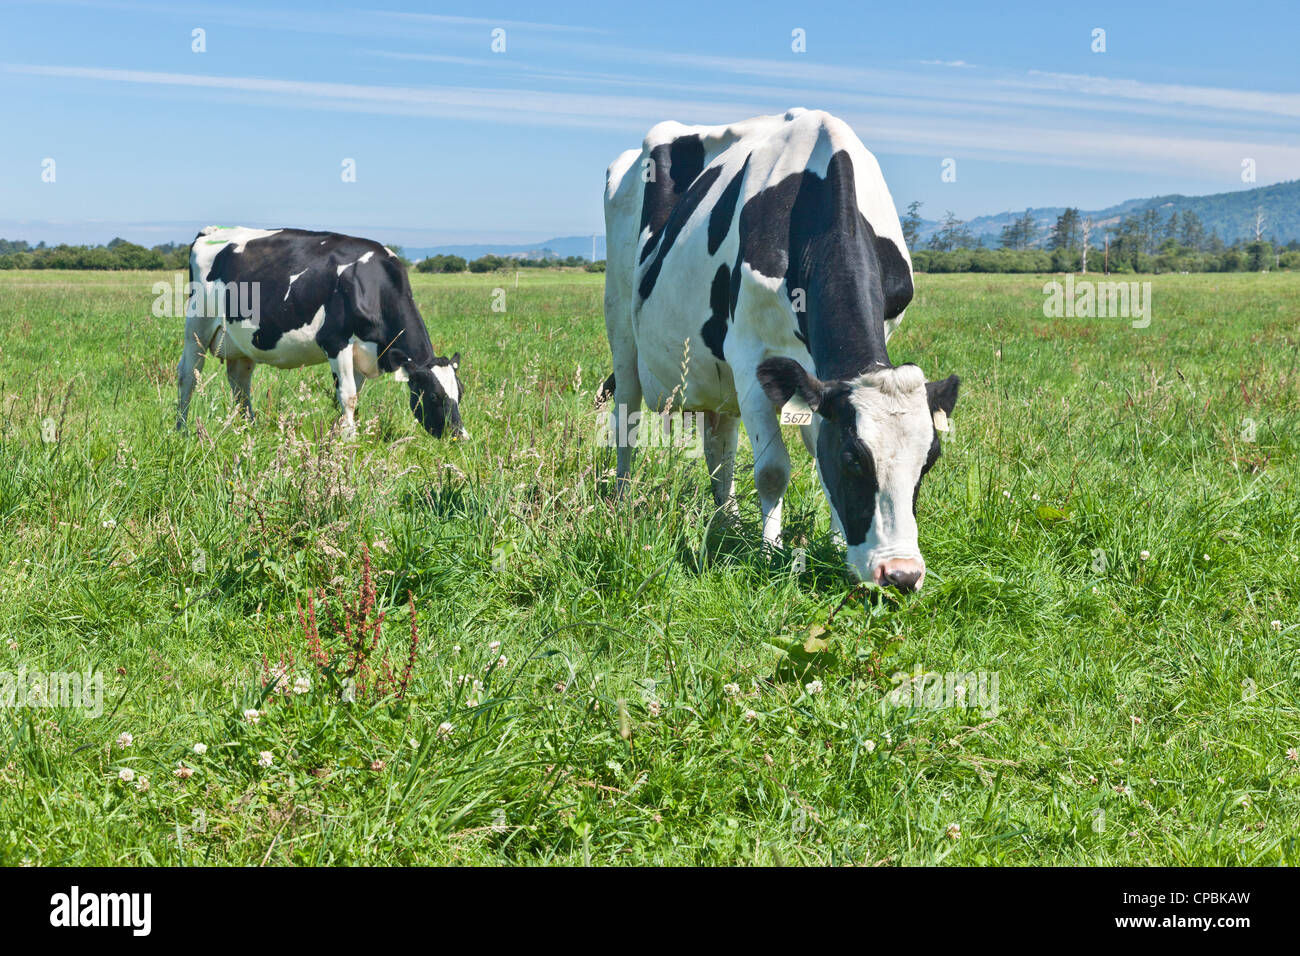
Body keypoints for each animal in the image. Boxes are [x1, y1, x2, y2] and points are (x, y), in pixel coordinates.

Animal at [176, 226, 467, 439]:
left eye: (461, 393)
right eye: (434, 395)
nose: (460, 436)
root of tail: (211, 232)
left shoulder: (361, 354)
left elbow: (353, 396)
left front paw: (343, 433)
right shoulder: (335, 342)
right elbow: (348, 395)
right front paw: (350, 440)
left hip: (241, 342)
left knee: (239, 384)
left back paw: (248, 428)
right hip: (197, 326)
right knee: (188, 376)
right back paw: (183, 430)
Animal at [603, 109, 959, 592]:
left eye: (929, 461)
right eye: (854, 459)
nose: (901, 575)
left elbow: (813, 448)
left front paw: (835, 545)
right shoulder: (750, 354)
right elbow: (773, 470)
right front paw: (770, 553)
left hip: (719, 377)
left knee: (720, 448)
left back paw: (728, 522)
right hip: (622, 328)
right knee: (627, 418)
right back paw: (624, 504)